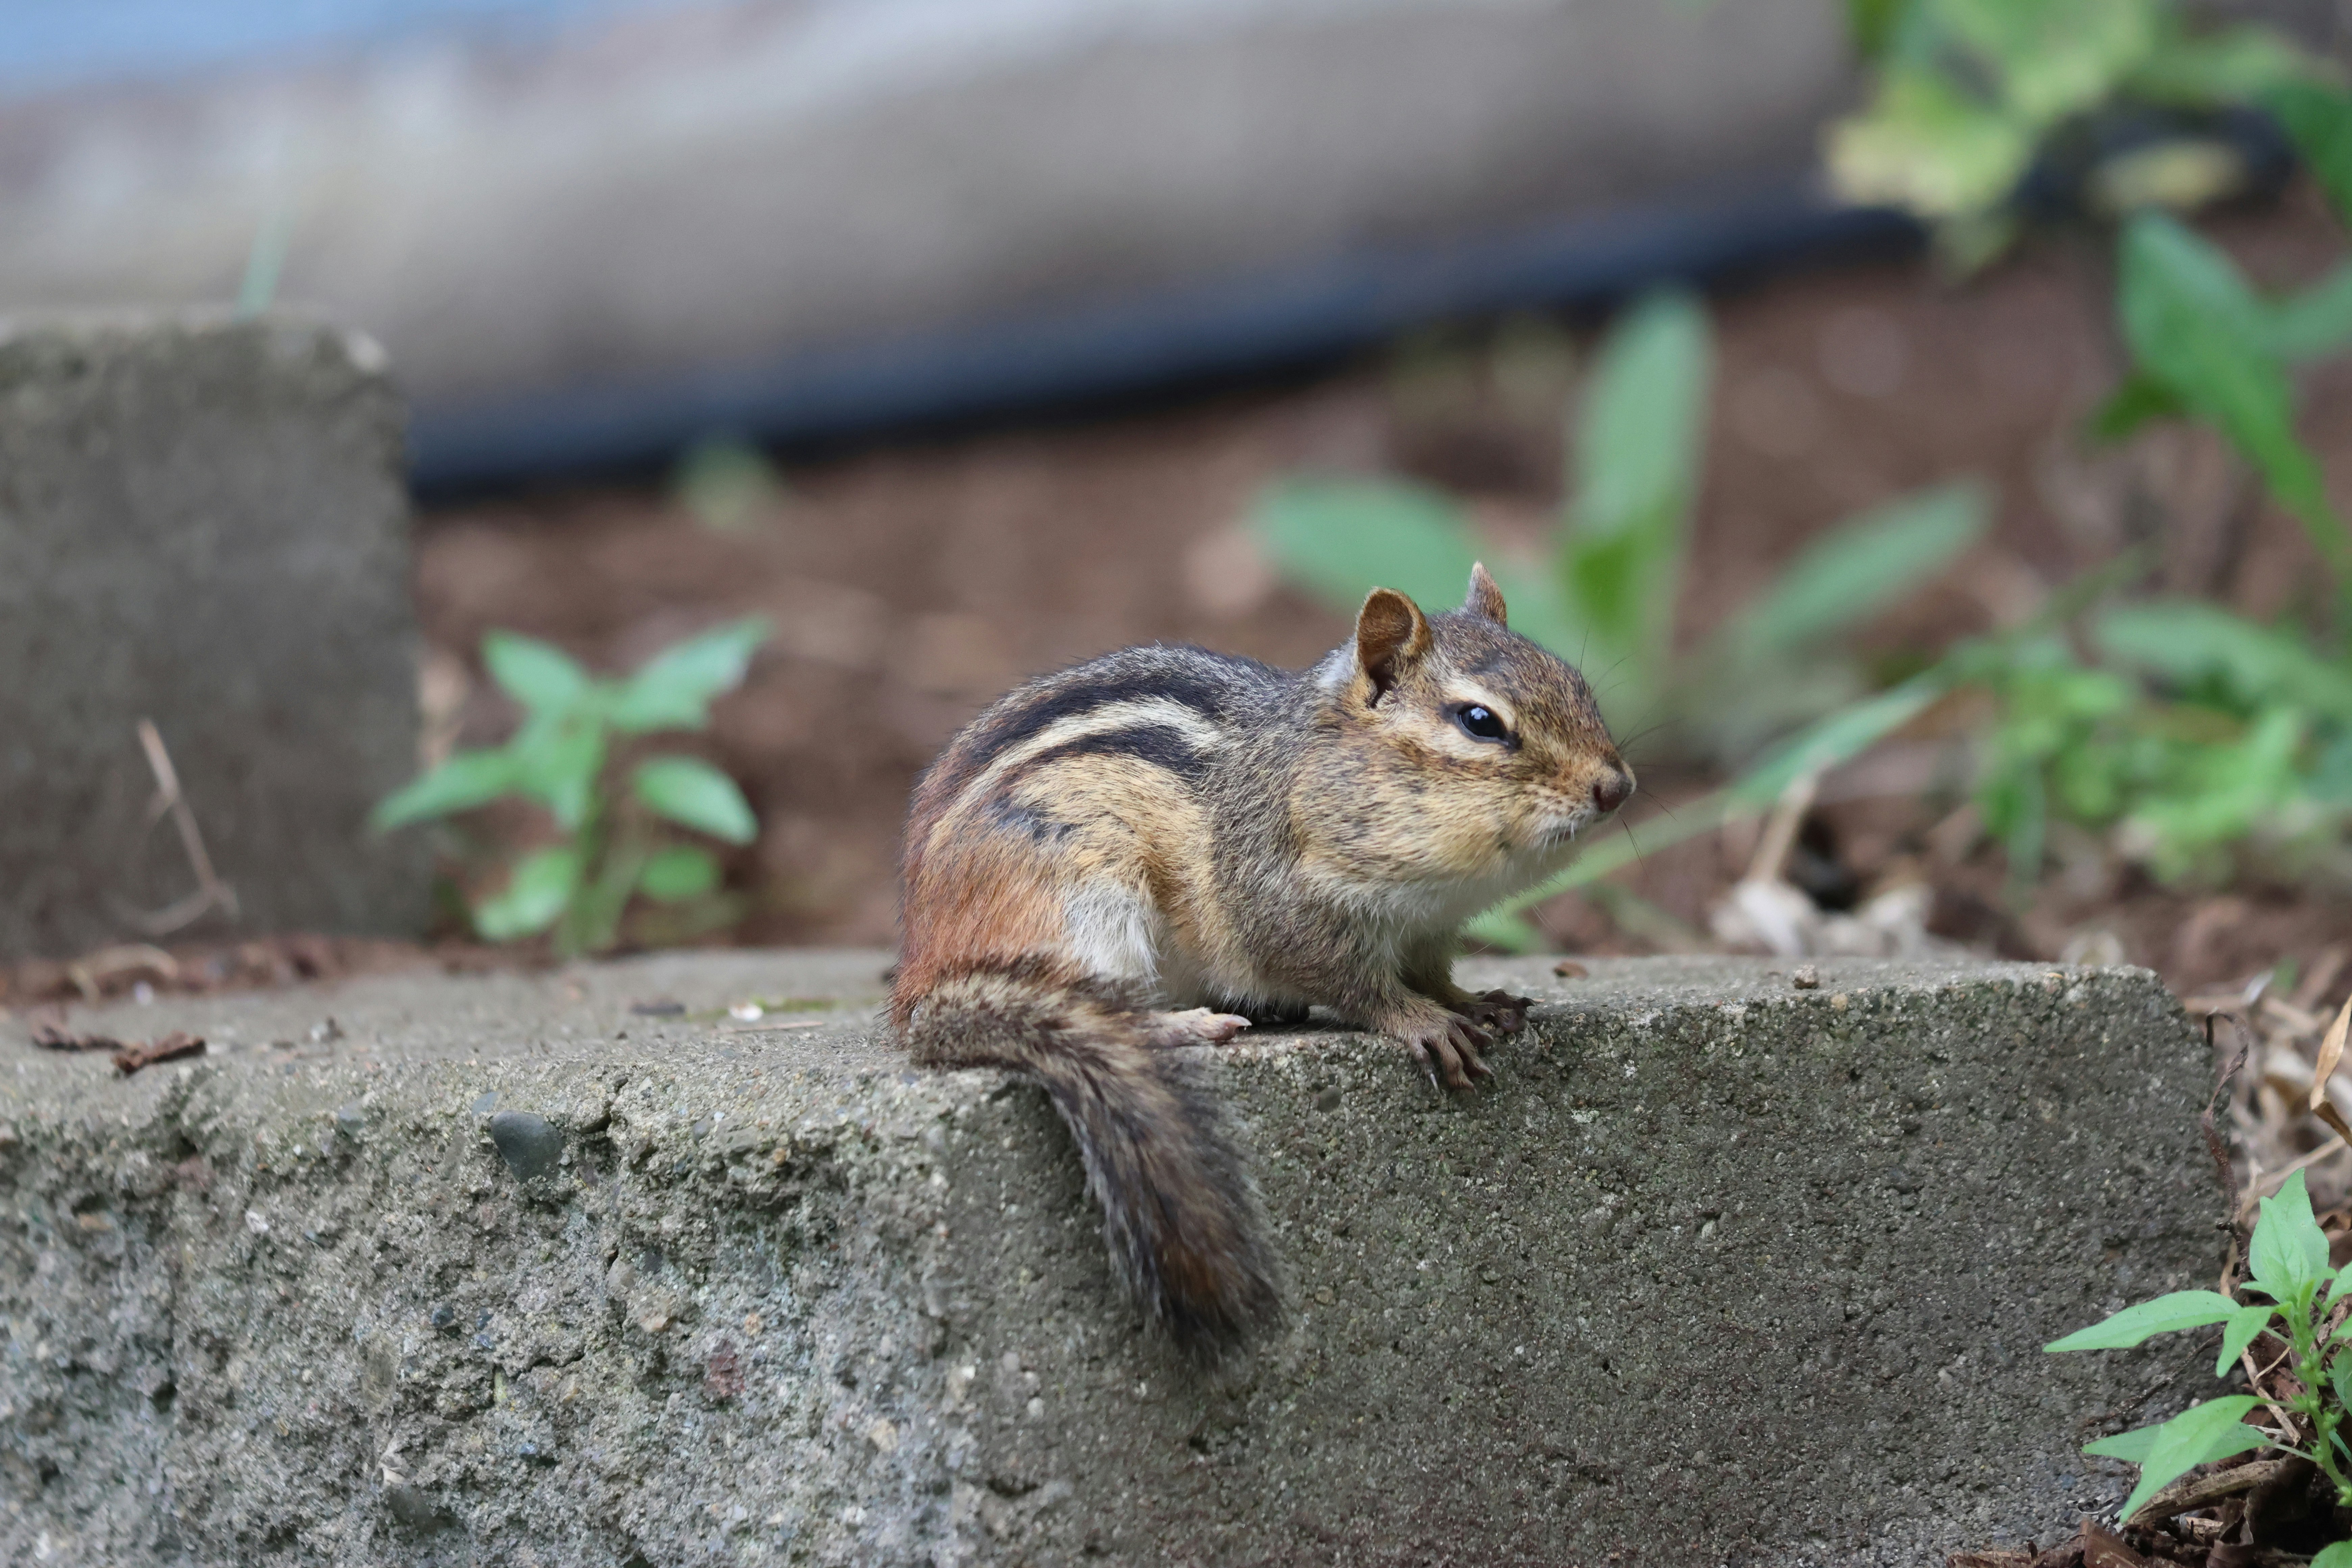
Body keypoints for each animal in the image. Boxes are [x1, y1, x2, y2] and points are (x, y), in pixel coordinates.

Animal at [890, 564, 1633, 1362]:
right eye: (1479, 722)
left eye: (1576, 684)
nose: (1617, 787)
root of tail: (922, 979)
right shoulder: (1281, 904)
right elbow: (1354, 984)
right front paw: (1419, 1020)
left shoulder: (1429, 929)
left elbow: (1436, 972)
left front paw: (1472, 1001)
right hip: (1083, 891)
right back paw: (1182, 1025)